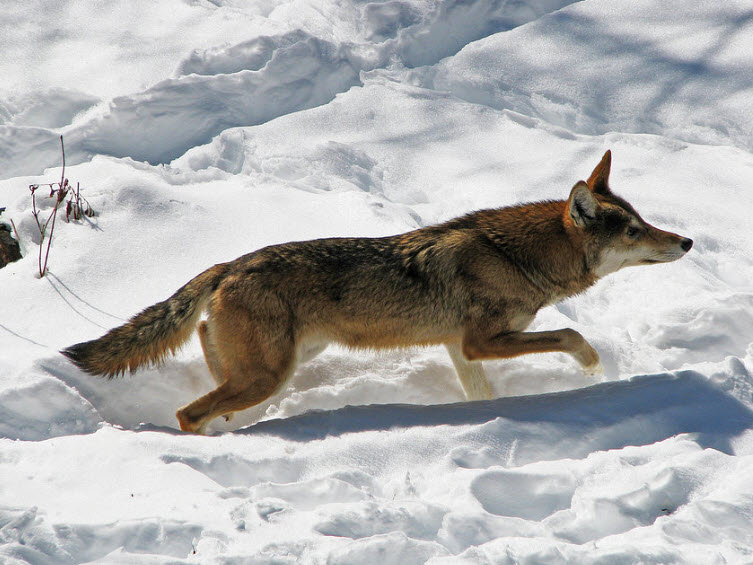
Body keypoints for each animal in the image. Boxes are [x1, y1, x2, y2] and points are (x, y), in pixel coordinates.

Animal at [62, 151, 693, 433]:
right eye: (633, 232)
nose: (687, 240)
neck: (514, 254)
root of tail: (228, 265)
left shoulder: (461, 351)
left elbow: (484, 397)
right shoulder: (481, 342)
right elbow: (572, 333)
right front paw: (594, 369)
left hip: (270, 370)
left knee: (205, 385)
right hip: (269, 375)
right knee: (190, 413)